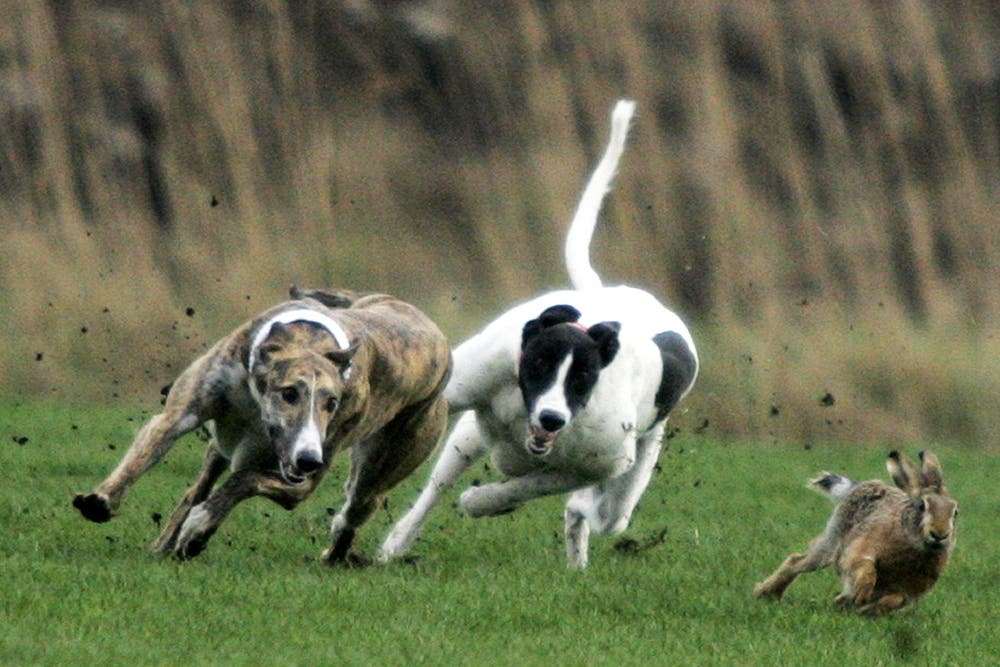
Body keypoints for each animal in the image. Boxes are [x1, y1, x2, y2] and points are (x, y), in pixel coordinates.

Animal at [753, 450, 957, 615]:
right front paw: (859, 595)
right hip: (832, 541)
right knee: (799, 561)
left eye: (955, 512)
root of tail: (858, 487)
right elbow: (865, 567)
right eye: (922, 506)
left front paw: (862, 608)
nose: (939, 534)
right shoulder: (860, 549)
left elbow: (894, 599)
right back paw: (765, 593)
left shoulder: (909, 590)